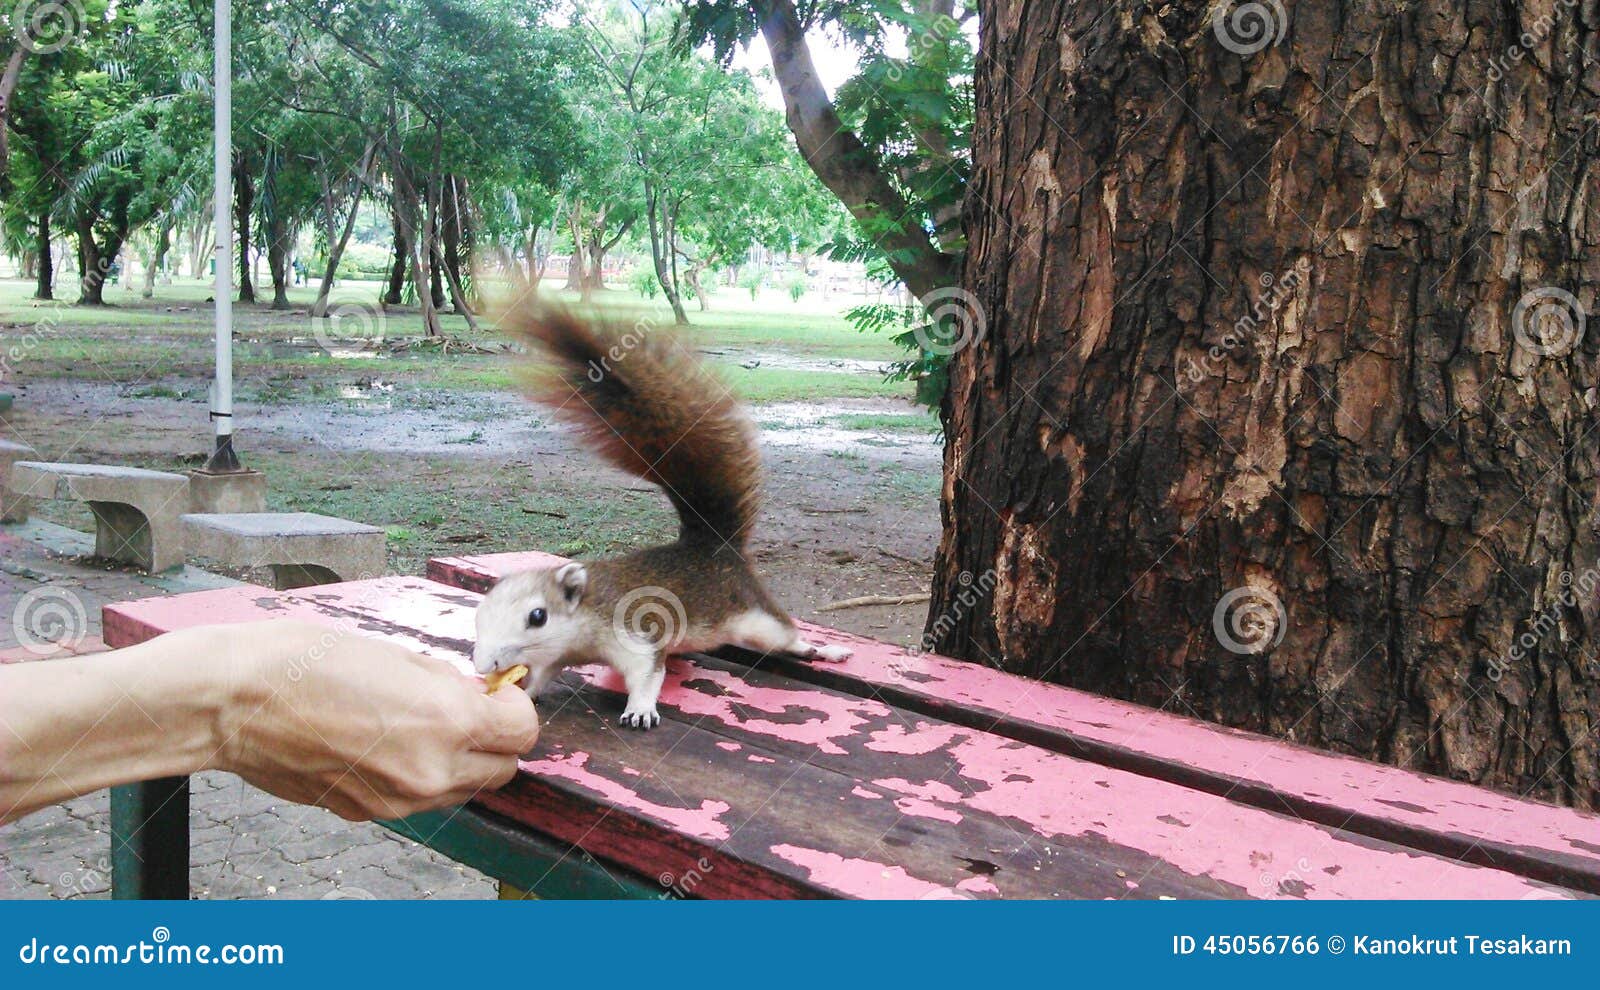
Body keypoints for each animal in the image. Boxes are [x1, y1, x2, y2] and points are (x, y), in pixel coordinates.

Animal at [471, 305, 852, 729]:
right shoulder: (557, 656)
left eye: (538, 616)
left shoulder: (633, 634)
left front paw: (639, 709)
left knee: (785, 635)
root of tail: (711, 544)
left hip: (754, 616)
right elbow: (543, 675)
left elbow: (647, 674)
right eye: (478, 614)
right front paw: (524, 692)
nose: (483, 665)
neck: (584, 620)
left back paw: (823, 650)